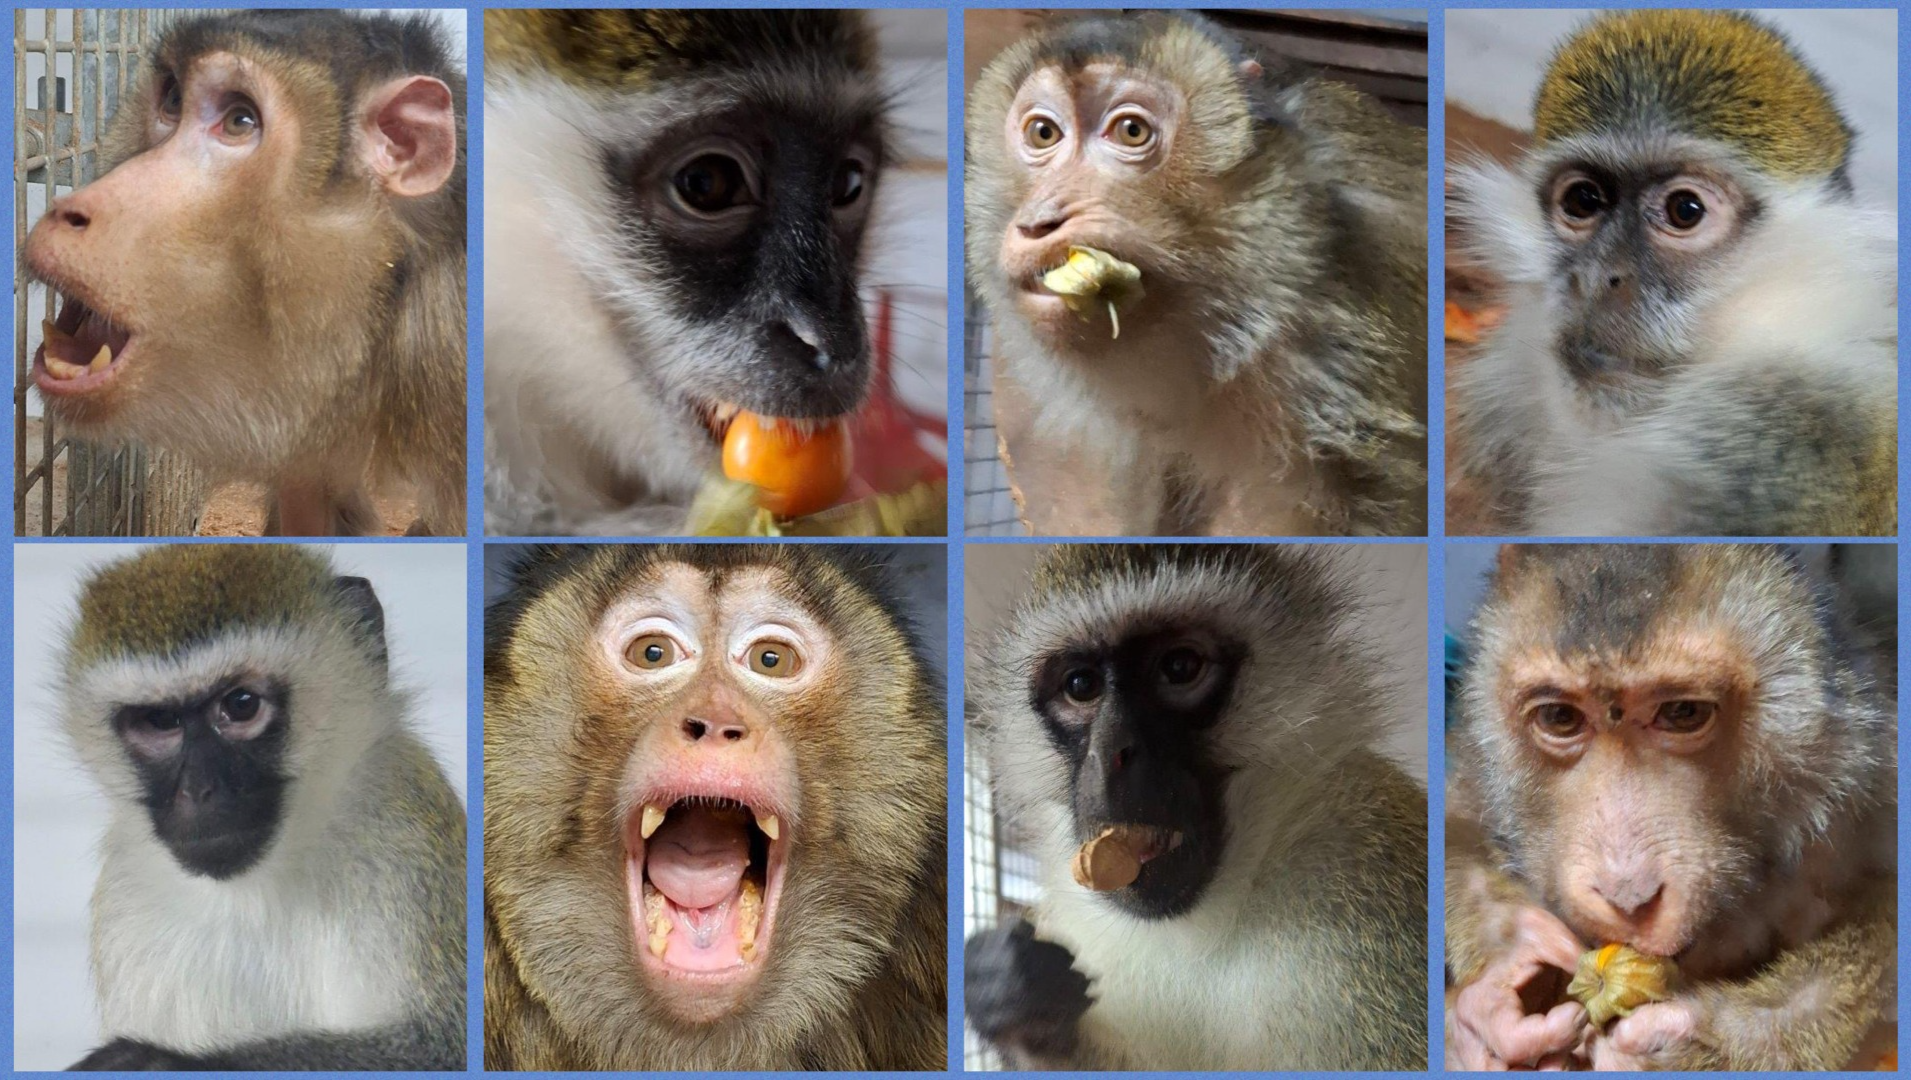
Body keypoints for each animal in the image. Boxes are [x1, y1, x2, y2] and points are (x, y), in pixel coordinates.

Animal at [52, 545, 466, 1070]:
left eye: (242, 704)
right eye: (160, 720)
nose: (198, 790)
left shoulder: (404, 830)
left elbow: (442, 1049)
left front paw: (157, 1061)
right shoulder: (125, 895)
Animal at [1446, 544, 1896, 1070]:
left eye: (1683, 713)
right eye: (1560, 716)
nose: (1628, 896)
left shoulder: (1860, 777)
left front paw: (1688, 1038)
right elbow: (1456, 821)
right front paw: (1509, 953)